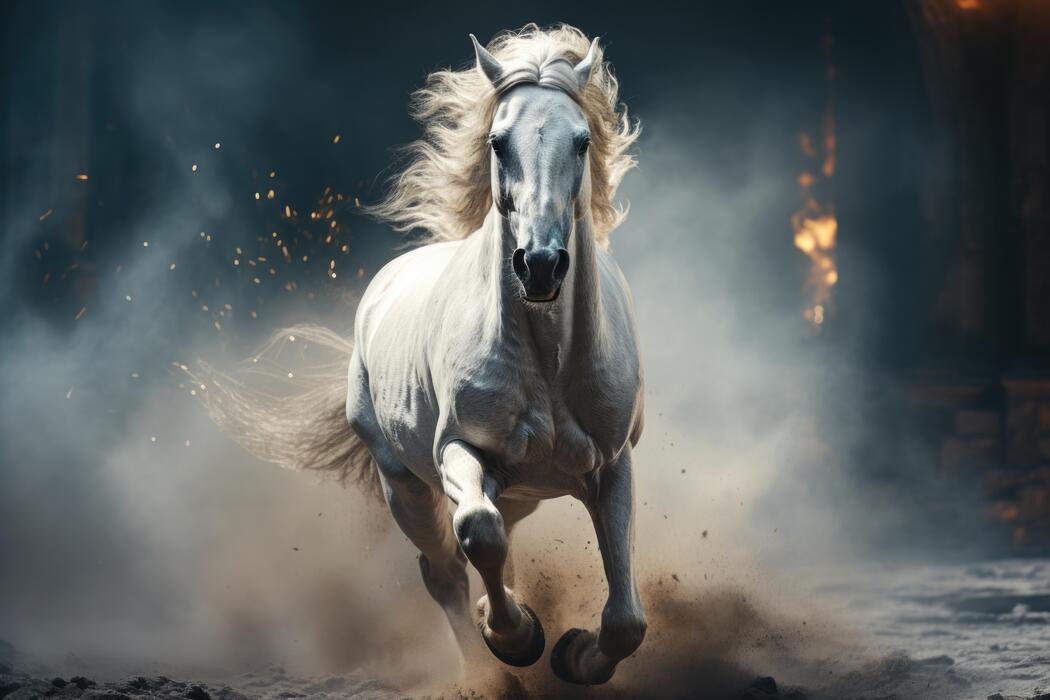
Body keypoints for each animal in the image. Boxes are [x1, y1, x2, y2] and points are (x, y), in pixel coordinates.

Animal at [196, 24, 646, 686]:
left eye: (583, 141)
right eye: (497, 142)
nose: (539, 265)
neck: (547, 360)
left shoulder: (610, 465)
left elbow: (626, 619)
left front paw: (573, 656)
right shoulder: (460, 450)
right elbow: (478, 534)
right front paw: (516, 638)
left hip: (521, 491)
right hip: (403, 482)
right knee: (446, 568)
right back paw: (490, 671)